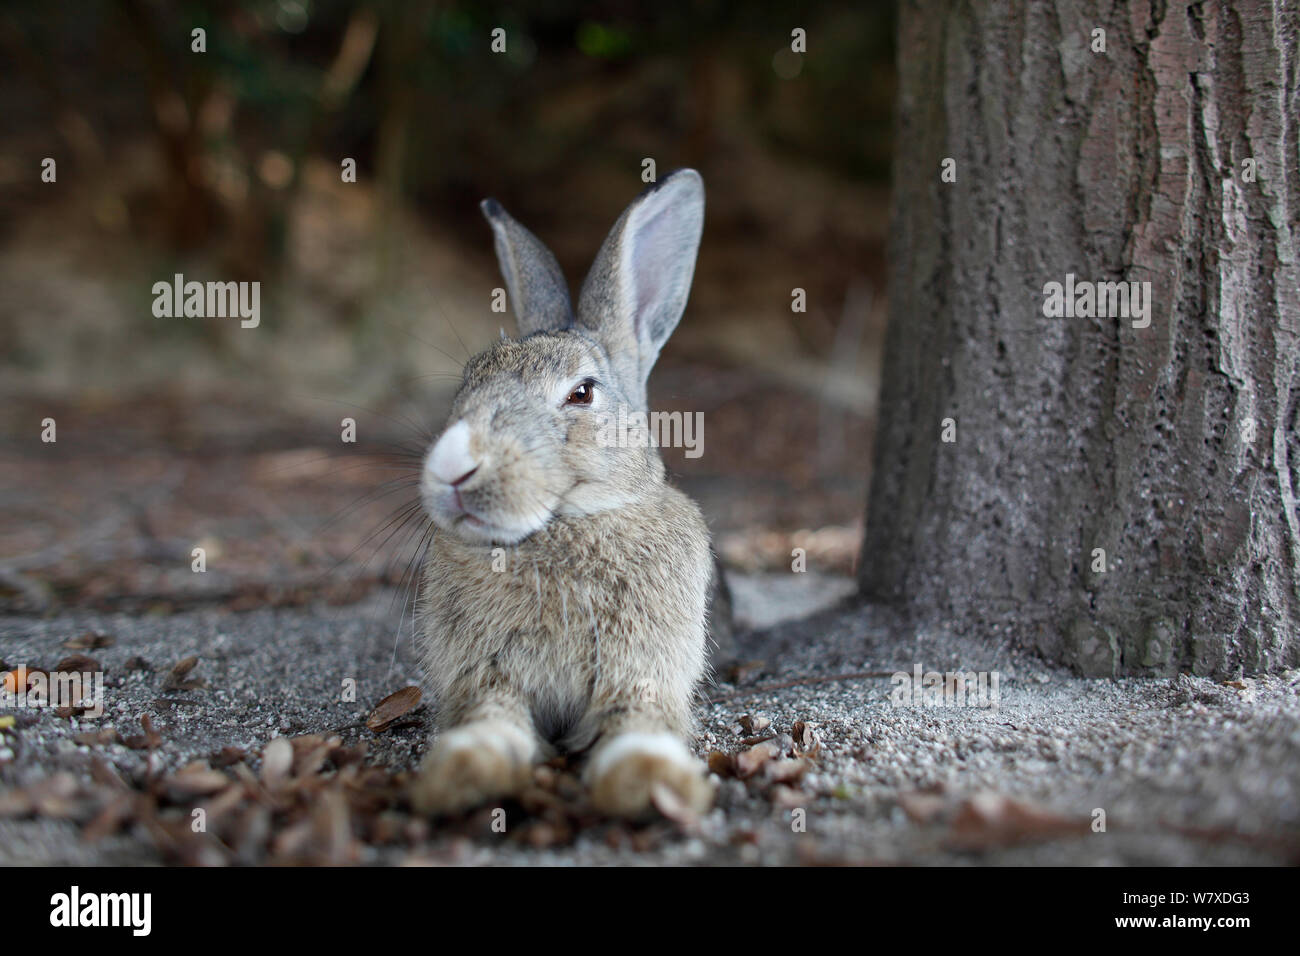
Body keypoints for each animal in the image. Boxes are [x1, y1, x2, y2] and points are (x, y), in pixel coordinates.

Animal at [410, 169, 716, 818]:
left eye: (581, 393)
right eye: (468, 382)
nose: (453, 467)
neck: (563, 527)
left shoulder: (643, 671)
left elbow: (641, 723)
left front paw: (647, 780)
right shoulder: (487, 675)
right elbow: (488, 719)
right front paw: (460, 773)